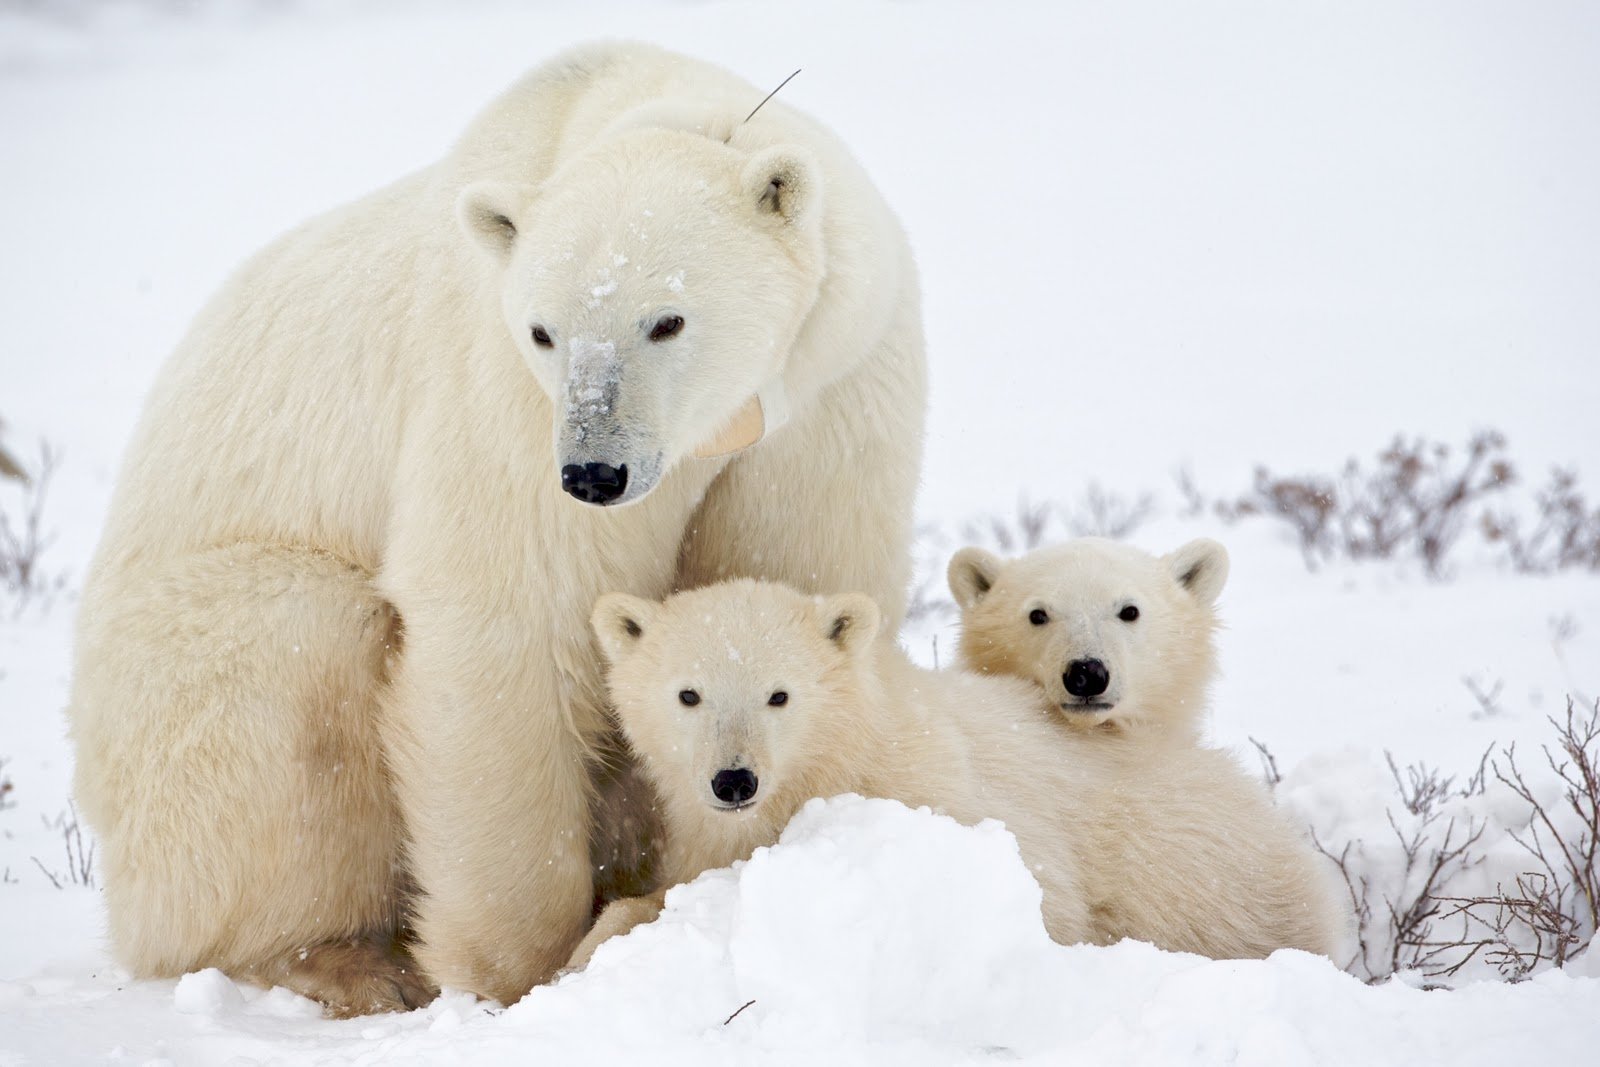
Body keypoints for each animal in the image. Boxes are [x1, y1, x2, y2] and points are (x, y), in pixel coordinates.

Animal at [67, 41, 926, 1016]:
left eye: (667, 319)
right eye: (545, 330)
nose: (594, 472)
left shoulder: (830, 390)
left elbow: (792, 576)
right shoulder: (501, 393)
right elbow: (509, 616)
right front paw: (522, 969)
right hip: (176, 685)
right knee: (295, 671)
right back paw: (349, 961)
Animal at [565, 580, 1344, 971]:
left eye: (779, 695)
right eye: (688, 694)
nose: (734, 780)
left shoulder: (941, 800)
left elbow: (1043, 904)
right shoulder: (704, 832)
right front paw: (590, 948)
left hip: (1214, 885)